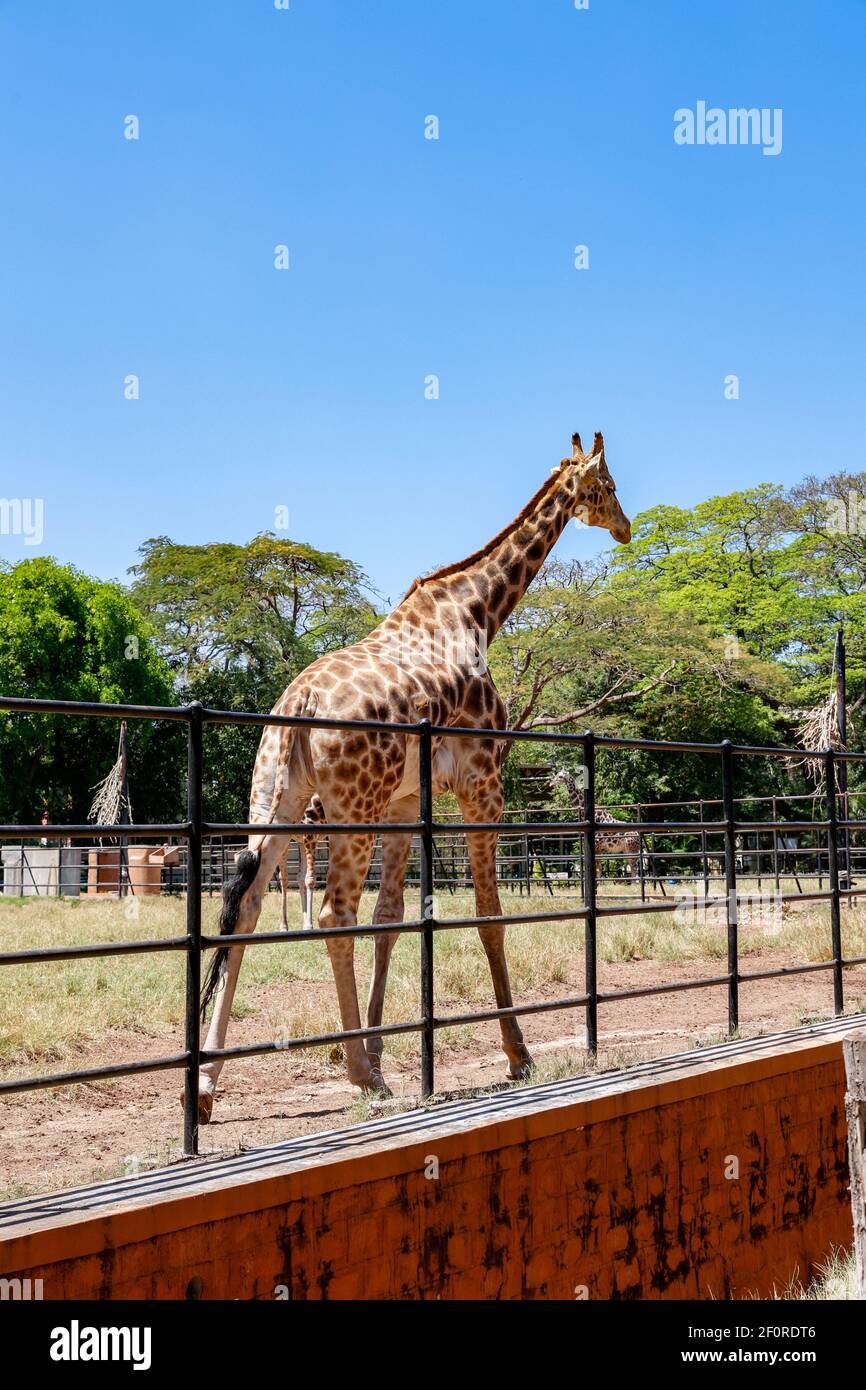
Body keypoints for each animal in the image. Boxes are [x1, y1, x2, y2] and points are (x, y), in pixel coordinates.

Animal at [193, 431, 630, 1123]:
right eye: (608, 485)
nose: (626, 527)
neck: (478, 613)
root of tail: (300, 704)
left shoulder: (404, 801)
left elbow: (393, 916)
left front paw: (380, 1048)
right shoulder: (482, 782)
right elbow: (487, 913)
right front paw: (517, 1054)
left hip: (277, 797)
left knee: (248, 908)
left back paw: (210, 1086)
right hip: (351, 807)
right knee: (334, 914)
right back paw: (358, 1078)